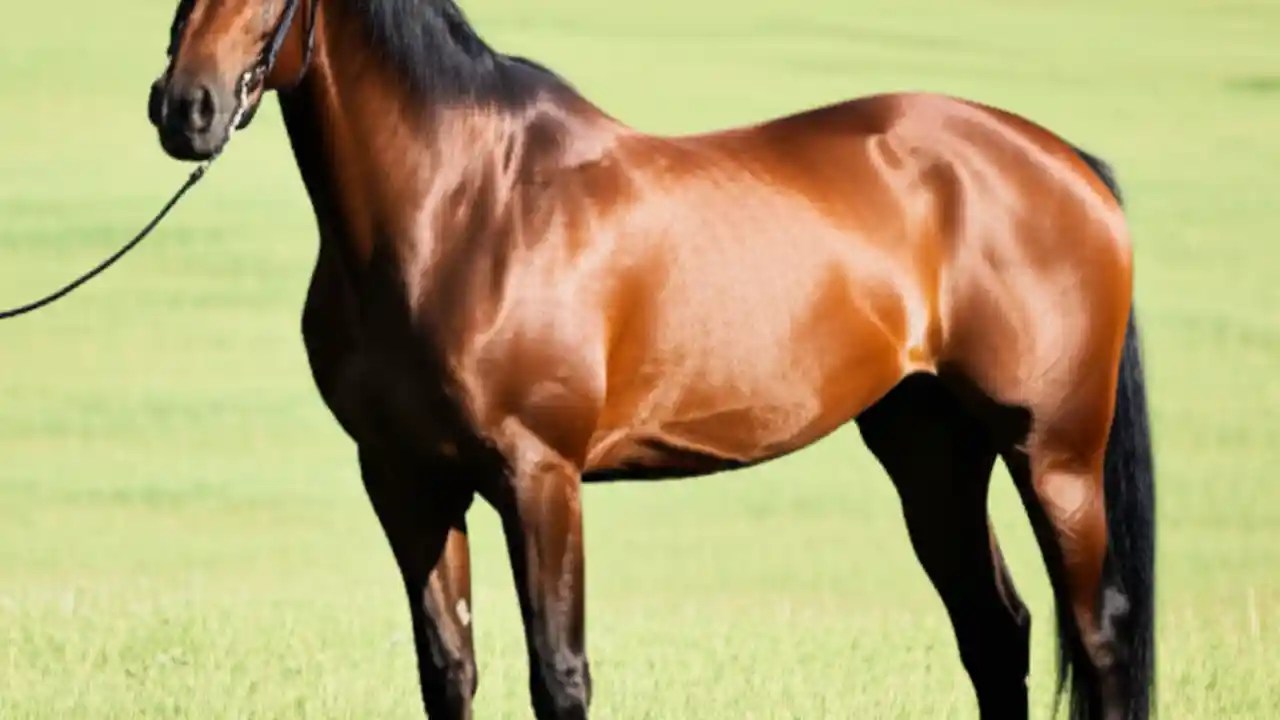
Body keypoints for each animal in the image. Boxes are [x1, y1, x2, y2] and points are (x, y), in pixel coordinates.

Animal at [148, 1, 1155, 718]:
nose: (183, 108)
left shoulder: (539, 477)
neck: (461, 206)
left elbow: (559, 675)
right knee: (997, 633)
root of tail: (1064, 162)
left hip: (1054, 457)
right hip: (932, 454)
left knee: (1098, 636)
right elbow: (448, 670)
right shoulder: (405, 481)